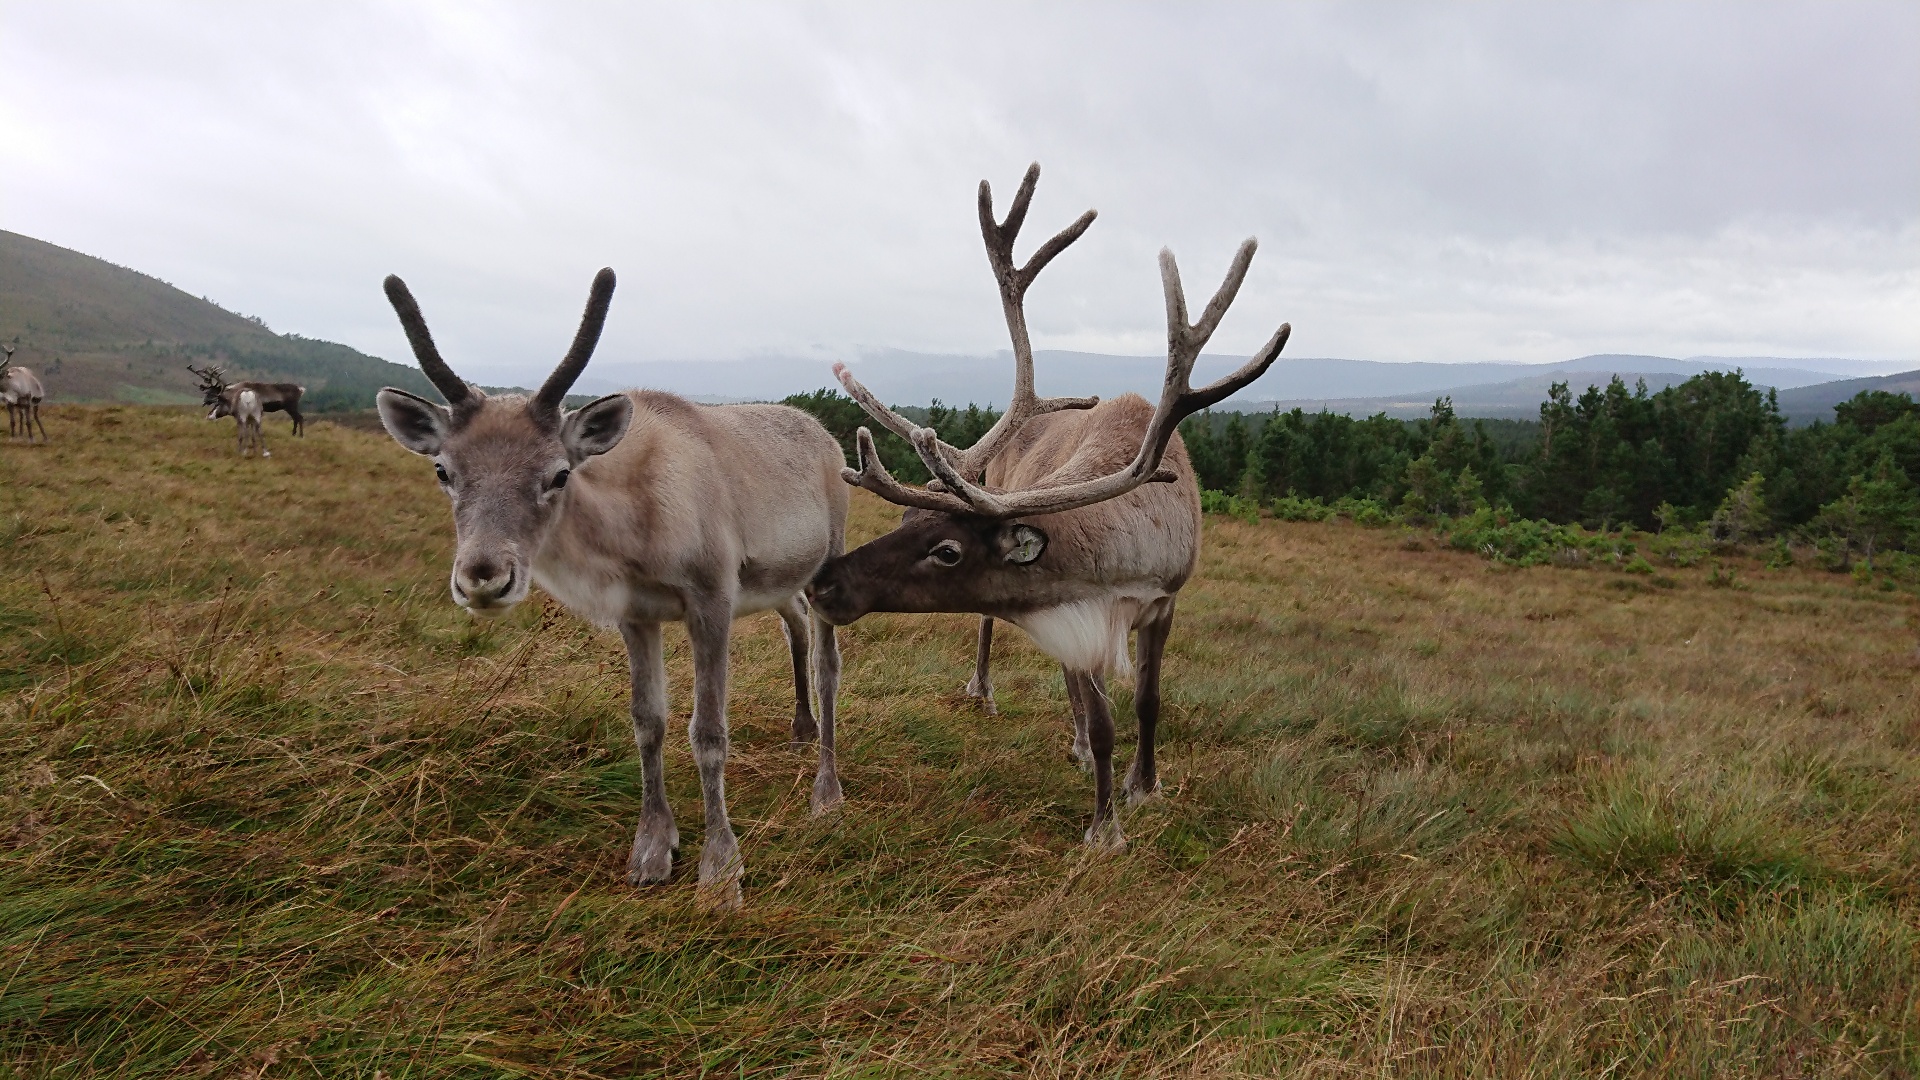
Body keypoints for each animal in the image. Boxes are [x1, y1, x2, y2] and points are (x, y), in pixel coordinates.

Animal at [372, 268, 849, 910]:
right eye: (443, 470)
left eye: (558, 473)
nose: (483, 577)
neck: (634, 536)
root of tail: (825, 433)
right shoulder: (636, 613)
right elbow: (648, 722)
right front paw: (651, 848)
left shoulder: (712, 594)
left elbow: (708, 732)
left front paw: (721, 867)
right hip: (779, 580)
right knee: (792, 620)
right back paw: (801, 730)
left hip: (831, 555)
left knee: (828, 663)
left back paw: (827, 789)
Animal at [806, 163, 1289, 849]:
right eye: (905, 518)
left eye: (947, 549)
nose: (823, 582)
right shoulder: (1079, 600)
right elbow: (1105, 717)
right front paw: (1105, 825)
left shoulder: (1161, 600)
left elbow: (1147, 703)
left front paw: (1144, 787)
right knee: (998, 635)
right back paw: (995, 697)